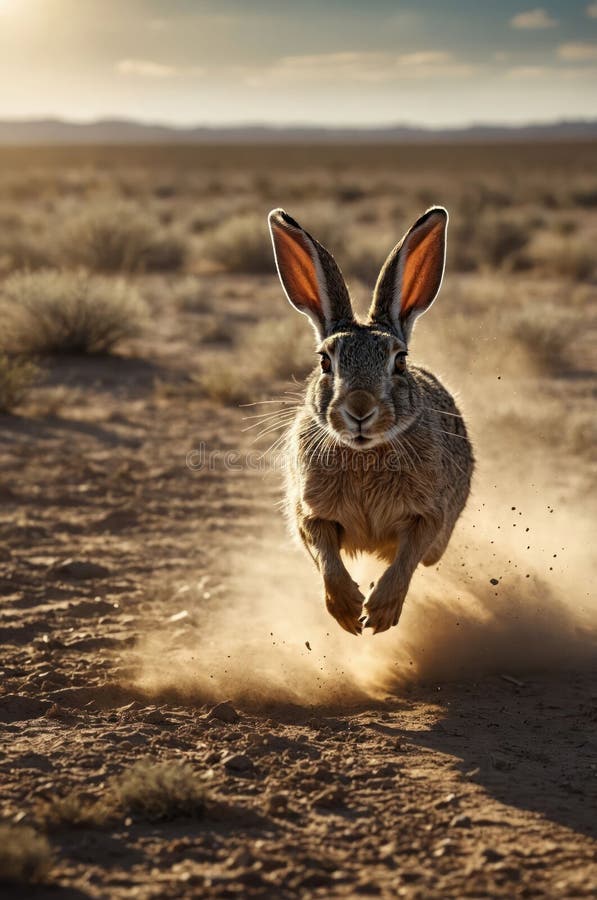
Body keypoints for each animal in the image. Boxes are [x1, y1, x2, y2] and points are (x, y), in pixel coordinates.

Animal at [267, 206, 474, 636]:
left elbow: (408, 557)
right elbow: (325, 556)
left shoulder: (429, 514)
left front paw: (379, 611)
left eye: (400, 361)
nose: (359, 409)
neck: (365, 452)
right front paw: (347, 610)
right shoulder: (309, 513)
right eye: (325, 361)